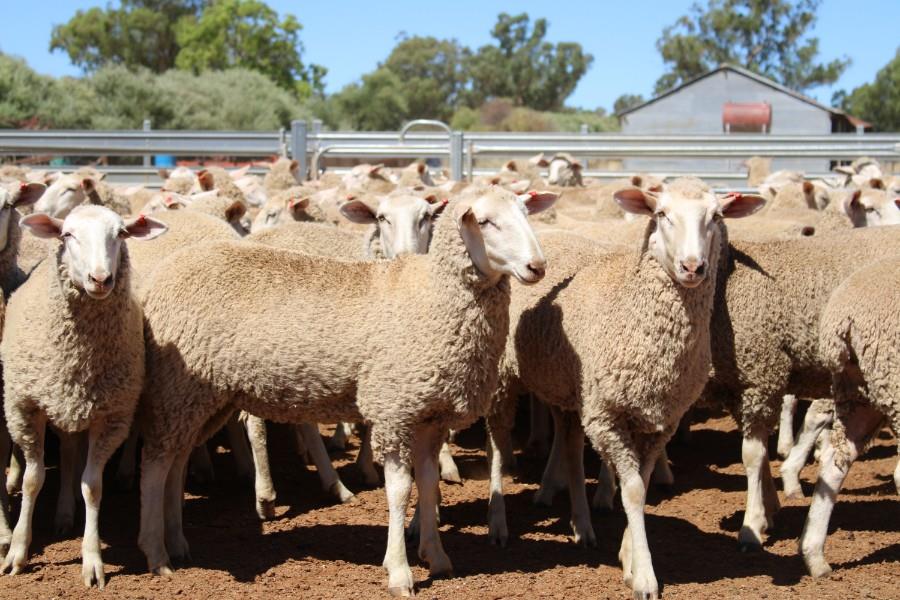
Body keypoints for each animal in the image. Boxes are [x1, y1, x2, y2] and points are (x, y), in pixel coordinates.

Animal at [0, 206, 166, 587]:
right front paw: (17, 551)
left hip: (78, 406)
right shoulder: (25, 408)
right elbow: (32, 480)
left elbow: (92, 486)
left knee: (71, 454)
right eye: (68, 235)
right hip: (58, 403)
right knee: (66, 452)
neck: (79, 356)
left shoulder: (111, 415)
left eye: (120, 234)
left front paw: (92, 560)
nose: (101, 279)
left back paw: (66, 511)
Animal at [134, 186, 555, 595]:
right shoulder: (394, 408)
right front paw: (399, 571)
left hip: (202, 398)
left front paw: (436, 556)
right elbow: (400, 490)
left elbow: (429, 483)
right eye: (484, 222)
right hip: (178, 386)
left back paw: (177, 541)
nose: (537, 267)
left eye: (525, 213)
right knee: (155, 465)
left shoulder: (429, 415)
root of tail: (166, 271)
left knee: (176, 460)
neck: (430, 294)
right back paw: (157, 553)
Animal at [485, 180, 765, 598]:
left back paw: (580, 524)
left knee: (569, 446)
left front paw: (628, 557)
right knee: (500, 446)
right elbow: (631, 489)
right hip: (505, 380)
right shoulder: (608, 417)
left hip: (569, 389)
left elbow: (643, 486)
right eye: (661, 214)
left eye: (715, 217)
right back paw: (499, 524)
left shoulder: (660, 420)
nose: (693, 267)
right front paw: (645, 575)